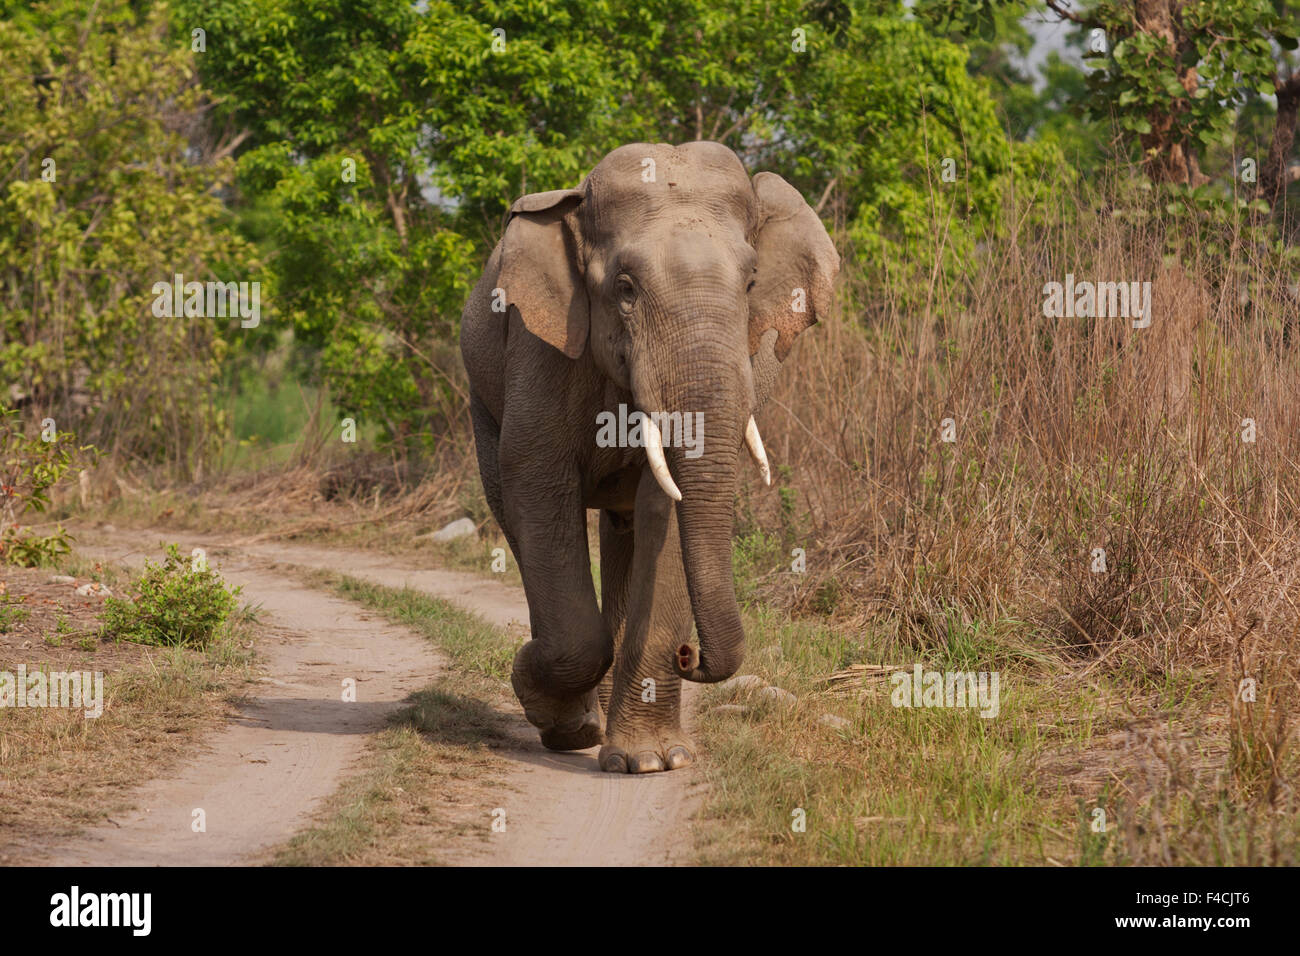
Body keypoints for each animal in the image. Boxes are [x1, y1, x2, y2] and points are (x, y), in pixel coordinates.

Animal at [459, 141, 839, 773]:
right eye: (626, 287)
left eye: (751, 282)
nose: (691, 655)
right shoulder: (540, 350)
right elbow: (538, 485)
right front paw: (545, 703)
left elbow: (665, 511)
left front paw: (653, 763)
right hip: (481, 399)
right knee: (512, 510)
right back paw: (574, 721)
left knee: (625, 528)